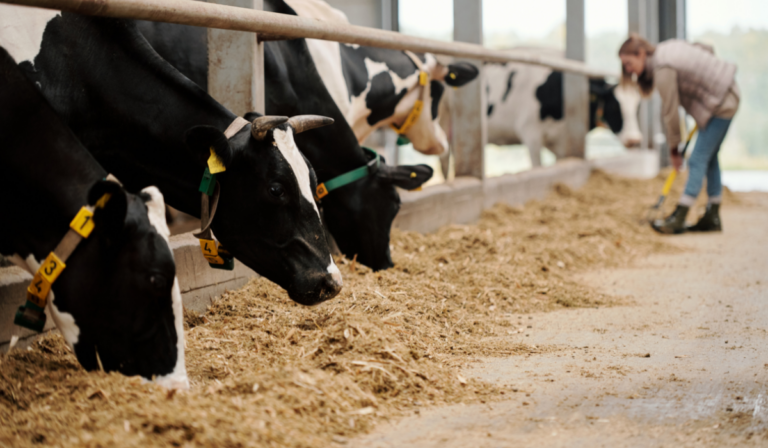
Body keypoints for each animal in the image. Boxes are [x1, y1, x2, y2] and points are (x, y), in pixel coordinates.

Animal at [482, 51, 643, 167]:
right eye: (614, 107)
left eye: (637, 108)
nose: (634, 140)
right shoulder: (529, 131)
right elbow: (537, 166)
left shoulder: (560, 142)